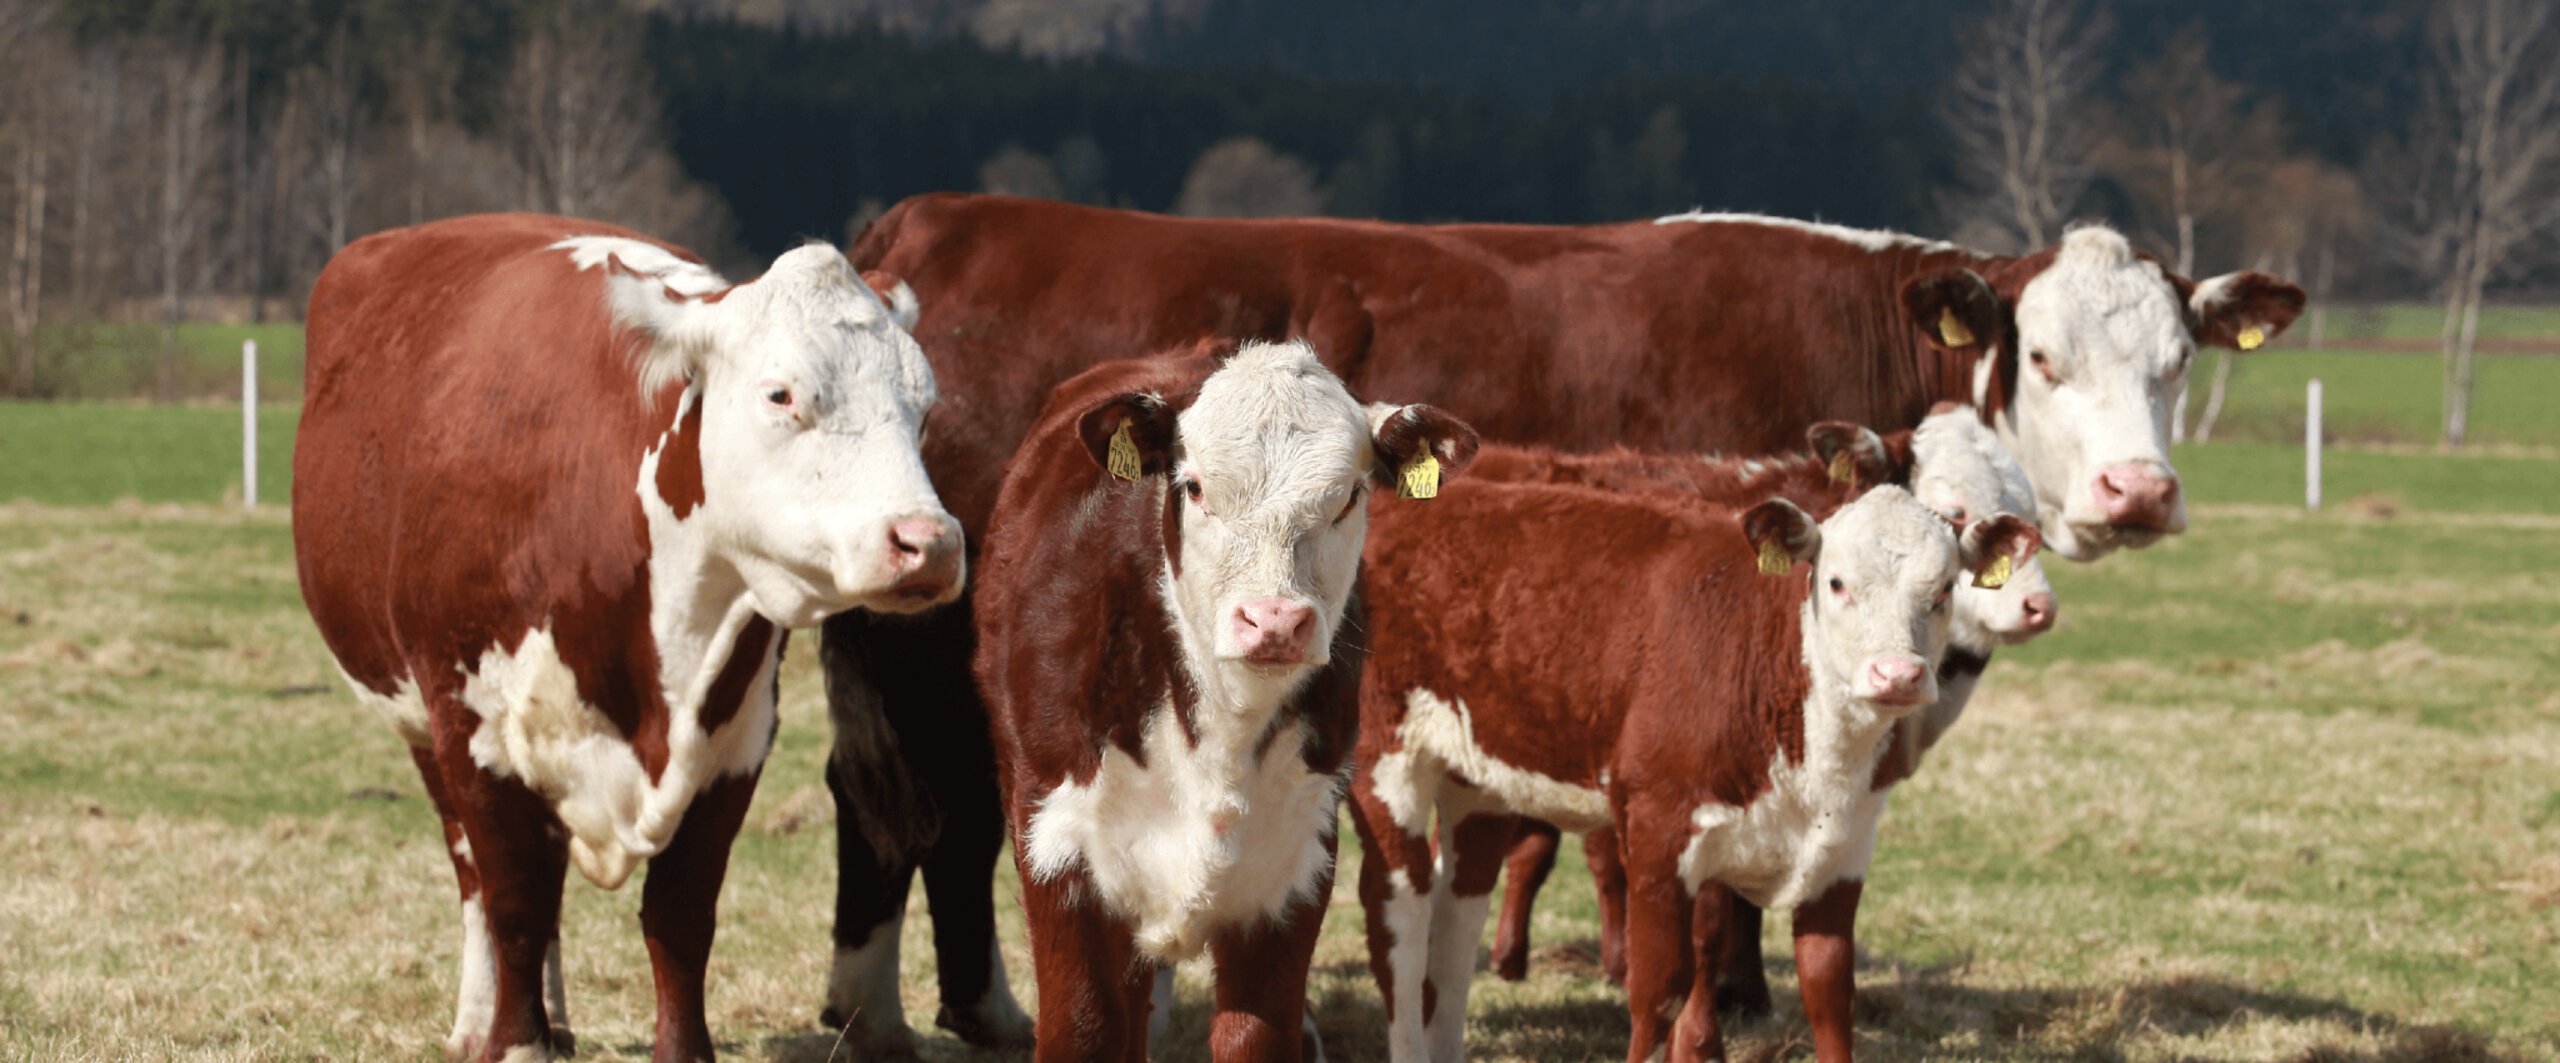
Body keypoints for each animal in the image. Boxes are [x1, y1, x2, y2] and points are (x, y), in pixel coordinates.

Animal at [292, 213, 961, 1063]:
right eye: (781, 393)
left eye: (923, 407)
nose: (929, 543)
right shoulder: (469, 724)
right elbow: (512, 897)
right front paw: (515, 1041)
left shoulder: (736, 738)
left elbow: (679, 912)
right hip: (419, 719)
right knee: (475, 869)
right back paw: (482, 1018)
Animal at [972, 339, 1475, 1062]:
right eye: (1195, 486)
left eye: (1349, 496)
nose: (1274, 621)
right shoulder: (1057, 848)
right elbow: (1084, 1029)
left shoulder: (1295, 866)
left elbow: (1254, 1036)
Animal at [1348, 480, 2040, 1063]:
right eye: (1838, 583)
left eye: (1945, 590)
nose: (1897, 675)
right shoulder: (1659, 831)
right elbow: (1659, 993)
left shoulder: (1843, 850)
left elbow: (1828, 991)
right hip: (1385, 757)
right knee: (1399, 912)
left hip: (1479, 781)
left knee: (1457, 912)